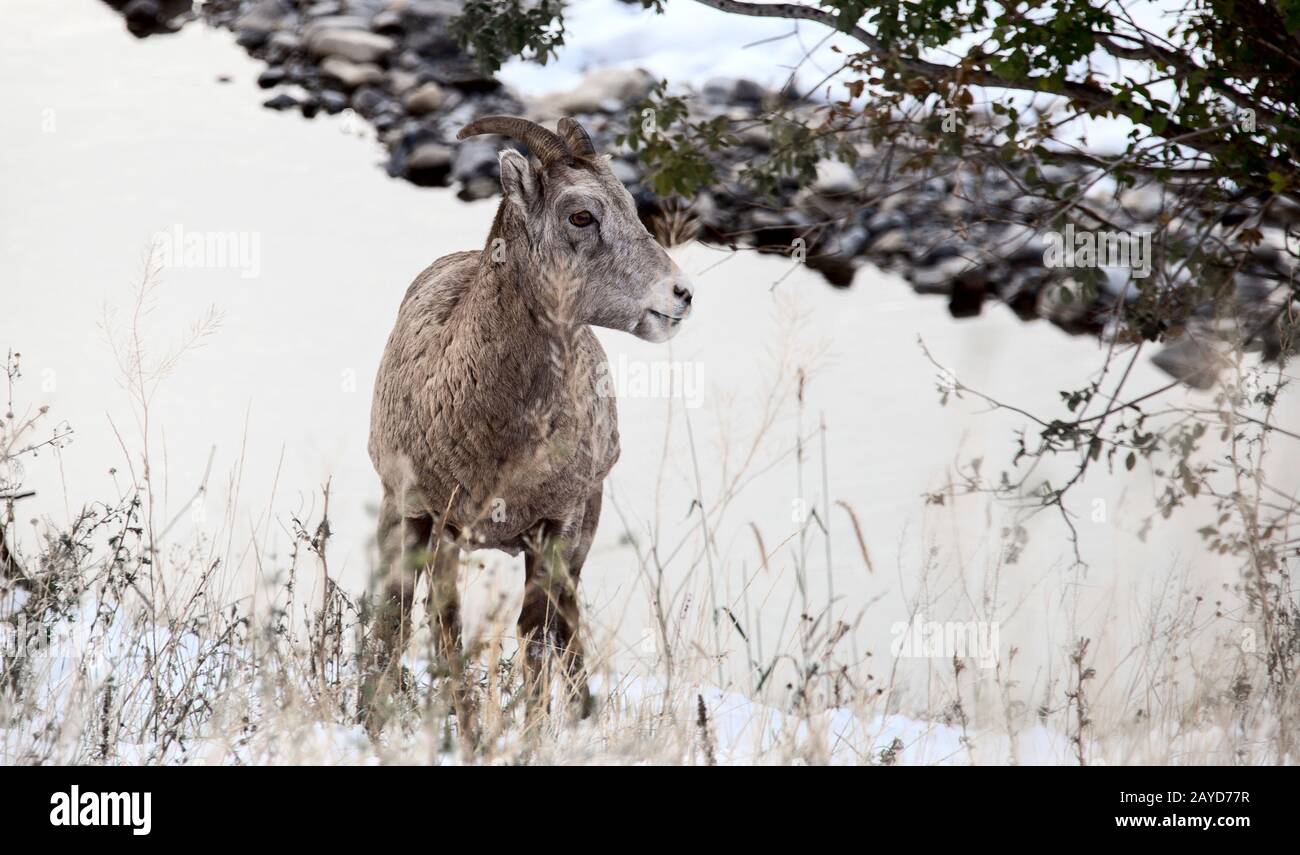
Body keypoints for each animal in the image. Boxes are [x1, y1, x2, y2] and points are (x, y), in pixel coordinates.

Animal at [363, 116, 694, 729]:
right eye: (581, 216)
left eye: (630, 206)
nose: (680, 295)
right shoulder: (437, 523)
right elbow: (442, 632)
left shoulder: (555, 529)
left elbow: (536, 640)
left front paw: (533, 733)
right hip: (401, 519)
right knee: (393, 619)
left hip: (582, 531)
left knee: (568, 626)